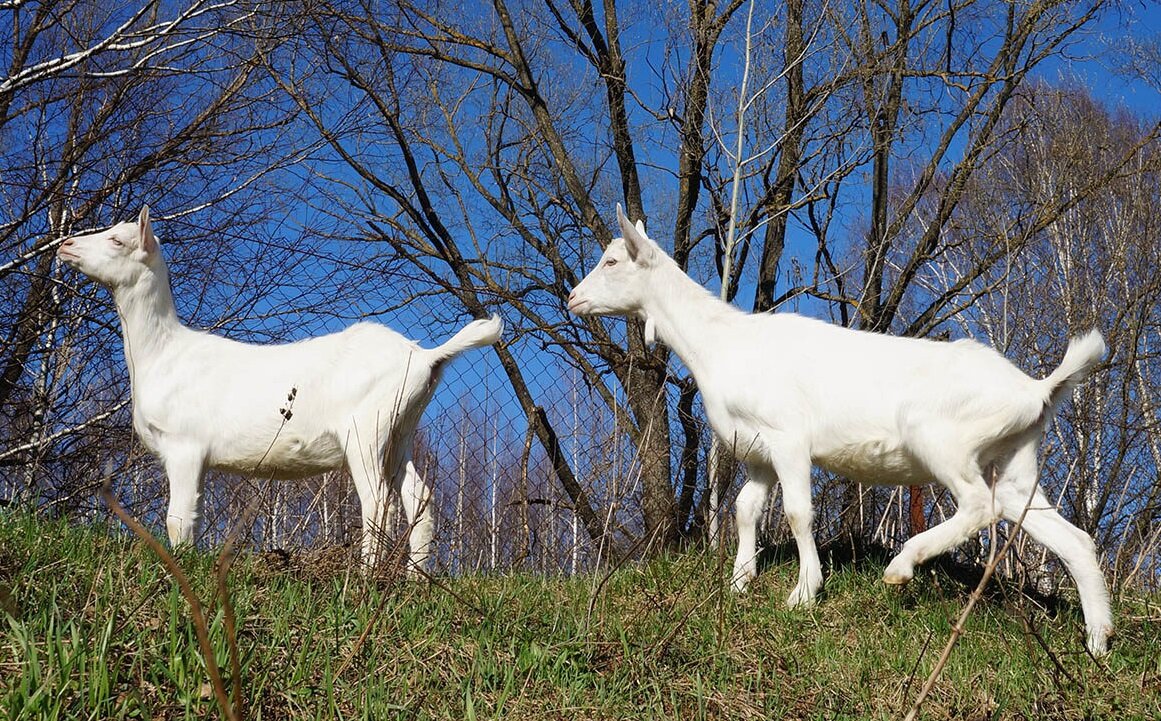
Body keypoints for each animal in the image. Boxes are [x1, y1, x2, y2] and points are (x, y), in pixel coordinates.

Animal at [57, 205, 503, 571]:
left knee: (378, 502)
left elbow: (178, 519)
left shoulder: (185, 446)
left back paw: (365, 579)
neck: (163, 354)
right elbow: (192, 520)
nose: (66, 245)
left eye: (118, 240)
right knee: (419, 499)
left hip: (366, 427)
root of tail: (426, 356)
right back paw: (414, 581)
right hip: (402, 430)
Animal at [571, 202, 1114, 650]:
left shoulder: (788, 437)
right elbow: (746, 510)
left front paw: (804, 592)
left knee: (980, 505)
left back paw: (901, 565)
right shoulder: (757, 453)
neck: (722, 343)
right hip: (1014, 465)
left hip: (941, 439)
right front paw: (740, 581)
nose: (574, 297)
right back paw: (1097, 644)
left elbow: (797, 513)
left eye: (613, 261)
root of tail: (1035, 388)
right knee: (1073, 541)